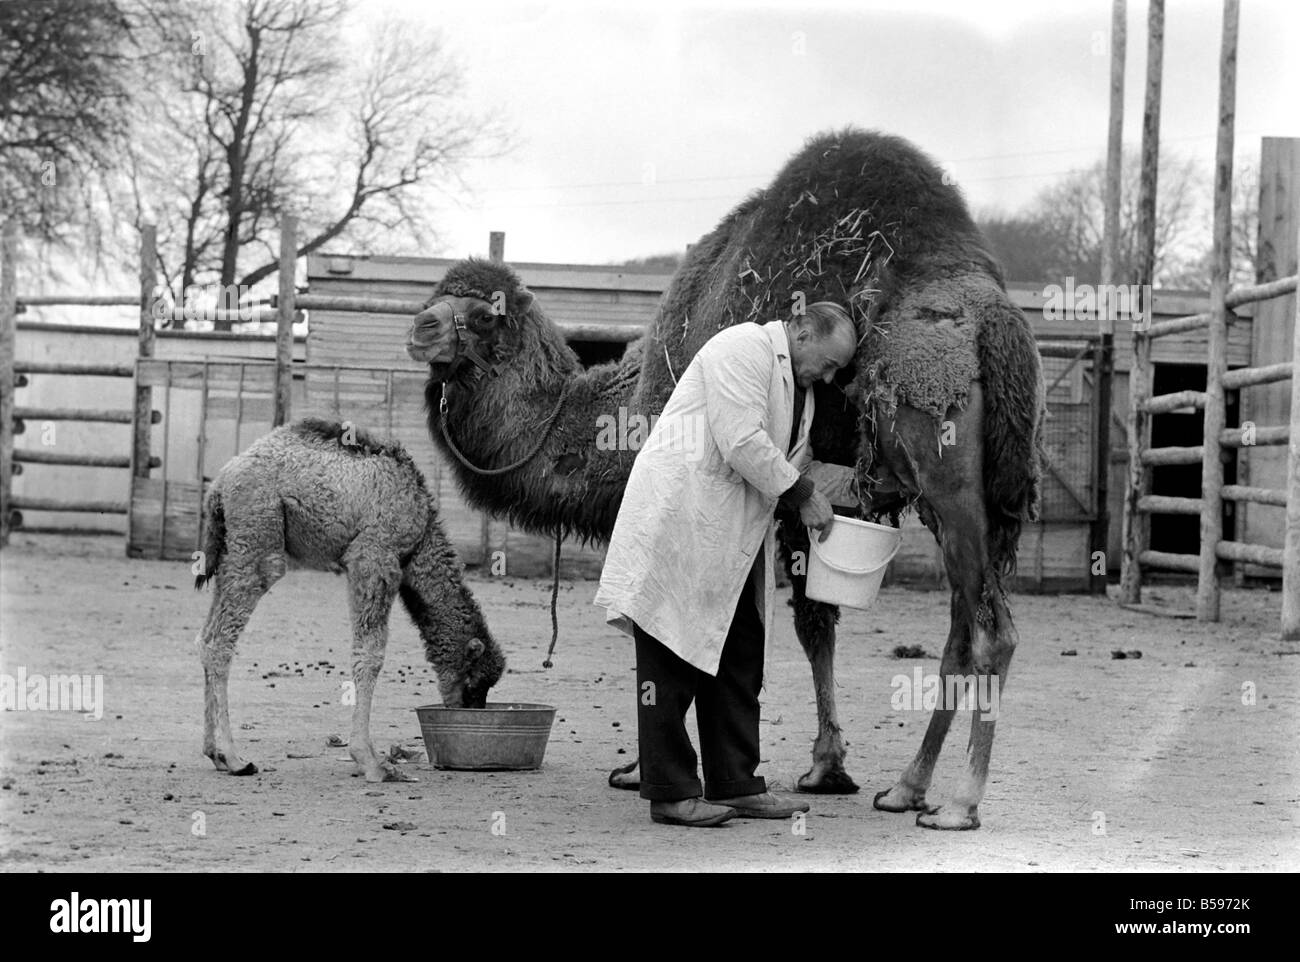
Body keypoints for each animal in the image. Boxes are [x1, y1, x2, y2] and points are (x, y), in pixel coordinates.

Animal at [194, 418, 506, 783]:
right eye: (475, 683)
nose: (469, 710)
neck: (420, 538)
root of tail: (219, 484)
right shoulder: (373, 554)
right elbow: (369, 656)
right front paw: (372, 762)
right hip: (257, 535)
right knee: (220, 638)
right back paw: (235, 758)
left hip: (231, 548)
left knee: (206, 635)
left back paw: (214, 753)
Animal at [405, 128, 1044, 828]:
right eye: (432, 297)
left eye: (485, 314)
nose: (420, 327)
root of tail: (996, 324)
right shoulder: (798, 491)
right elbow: (814, 622)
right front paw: (828, 768)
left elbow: (703, 629)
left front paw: (638, 770)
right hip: (979, 496)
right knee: (962, 626)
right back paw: (905, 788)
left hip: (942, 466)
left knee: (993, 631)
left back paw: (958, 802)